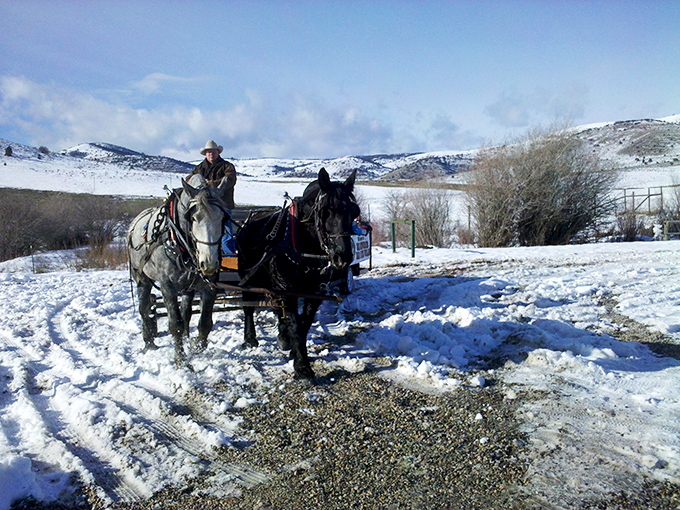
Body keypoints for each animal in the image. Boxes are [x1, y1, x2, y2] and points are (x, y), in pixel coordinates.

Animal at [127, 173, 230, 367]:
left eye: (222, 218)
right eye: (194, 218)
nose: (209, 264)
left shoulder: (209, 287)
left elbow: (205, 323)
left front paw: (197, 348)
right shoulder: (167, 286)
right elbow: (175, 324)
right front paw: (181, 361)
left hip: (188, 287)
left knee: (186, 312)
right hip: (141, 277)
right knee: (144, 308)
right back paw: (149, 343)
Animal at [237, 167, 360, 379]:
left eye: (353, 212)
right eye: (325, 211)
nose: (342, 257)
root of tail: (247, 221)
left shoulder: (315, 292)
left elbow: (304, 324)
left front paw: (294, 351)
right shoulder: (289, 290)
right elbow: (295, 323)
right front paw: (303, 366)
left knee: (277, 306)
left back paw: (282, 335)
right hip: (250, 277)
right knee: (249, 308)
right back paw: (250, 339)